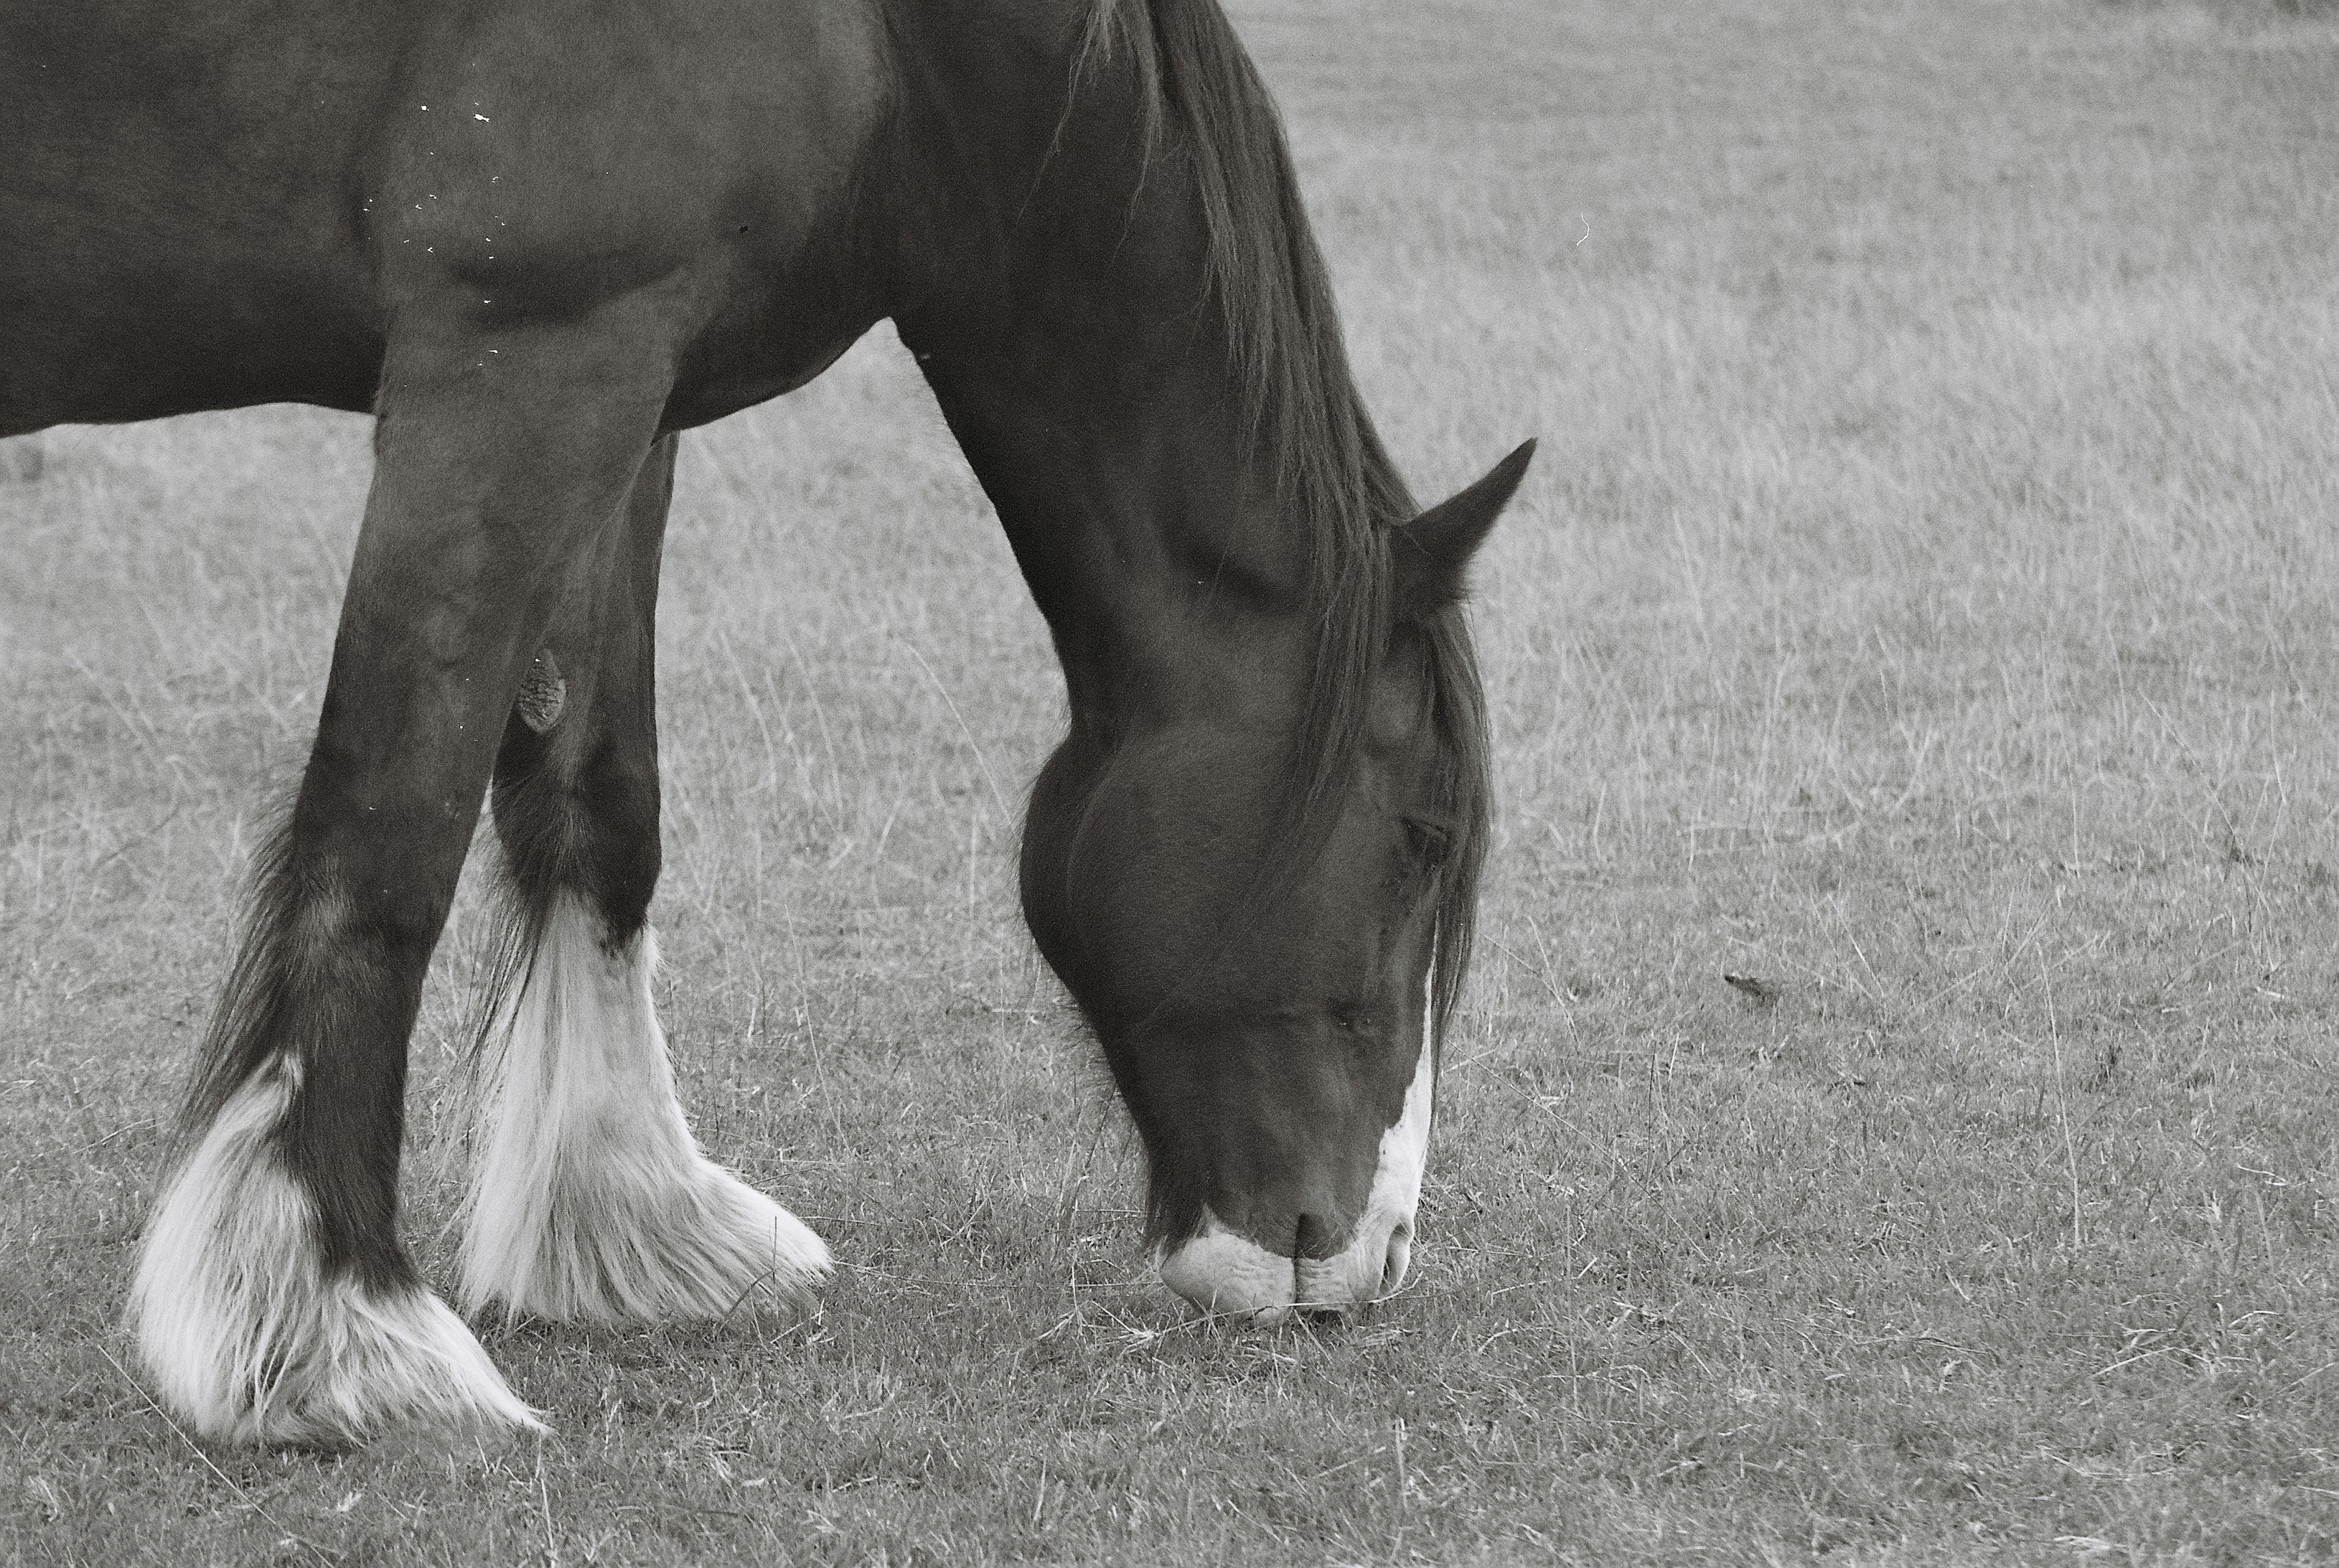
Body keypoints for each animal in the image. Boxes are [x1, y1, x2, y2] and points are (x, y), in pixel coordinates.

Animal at [1, 0, 1530, 1447]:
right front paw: (332, 1320)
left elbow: (598, 804)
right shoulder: (520, 361)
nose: (1371, 1251)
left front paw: (633, 1215)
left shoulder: (627, 392)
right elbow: (385, 840)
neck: (895, 45)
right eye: (1420, 835)